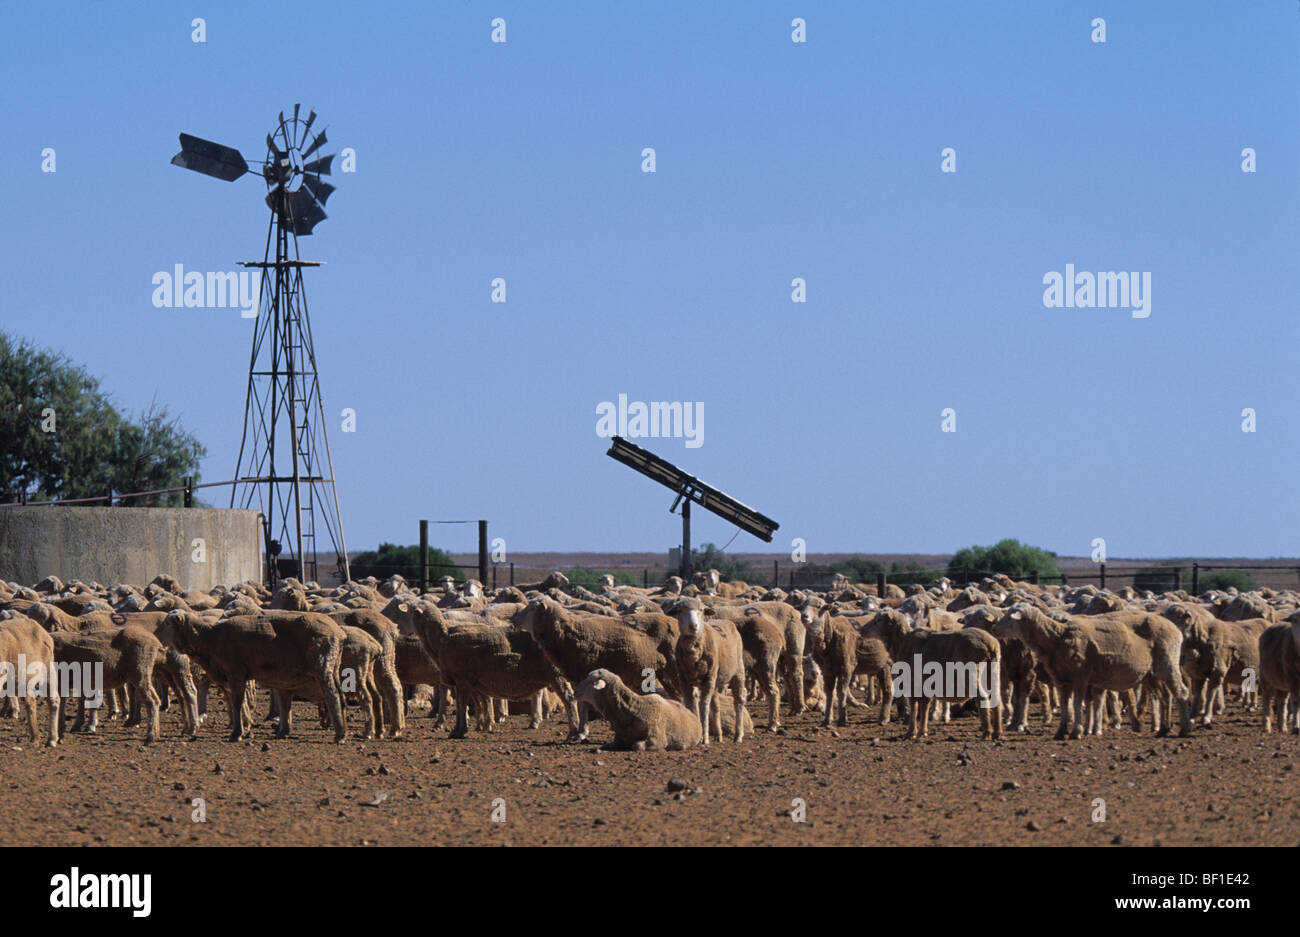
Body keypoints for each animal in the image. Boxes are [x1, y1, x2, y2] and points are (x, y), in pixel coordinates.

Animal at [664, 597, 747, 744]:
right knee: (716, 704)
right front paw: (696, 732)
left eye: (701, 610)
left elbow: (704, 705)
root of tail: (727, 622)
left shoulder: (708, 678)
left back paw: (738, 735)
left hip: (737, 671)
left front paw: (704, 737)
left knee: (739, 700)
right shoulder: (684, 680)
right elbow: (691, 704)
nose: (693, 626)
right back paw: (719, 735)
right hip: (715, 679)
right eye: (680, 610)